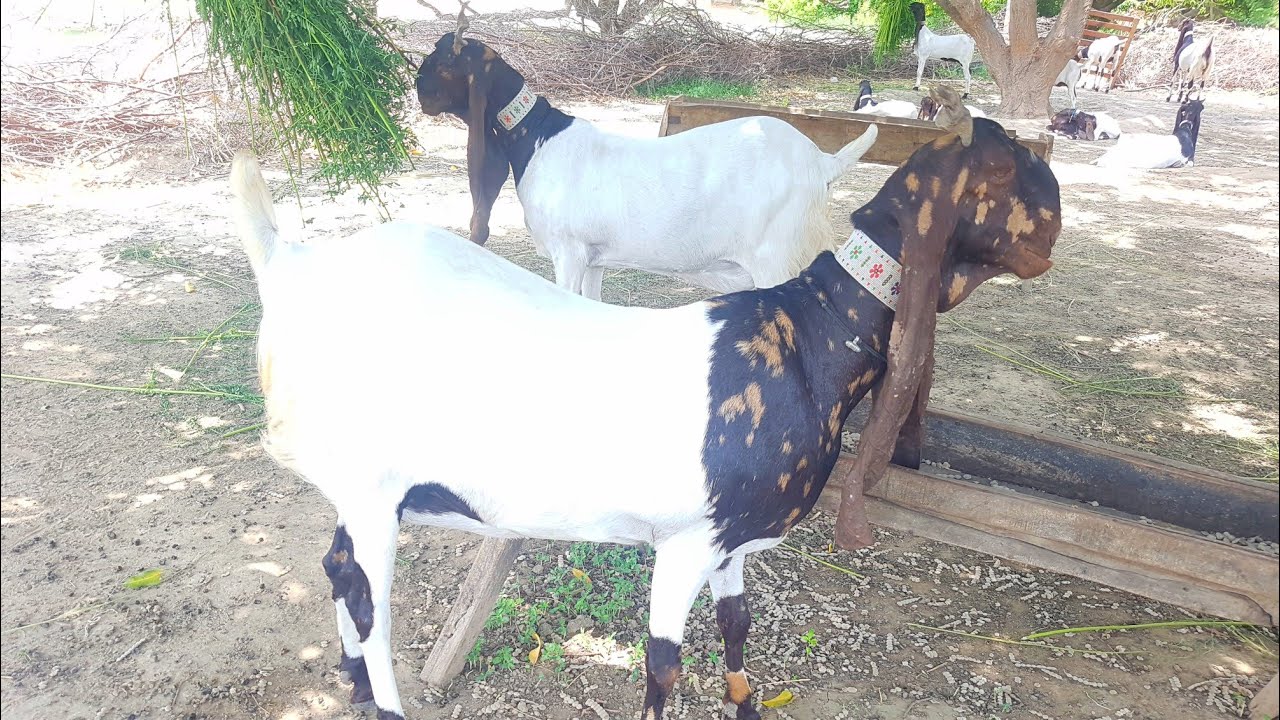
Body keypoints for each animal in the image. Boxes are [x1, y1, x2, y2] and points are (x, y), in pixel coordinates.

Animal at [229, 86, 1061, 720]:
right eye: (1008, 169)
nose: (1050, 236)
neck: (806, 333)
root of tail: (289, 265)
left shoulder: (732, 540)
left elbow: (737, 625)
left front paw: (747, 705)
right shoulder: (686, 540)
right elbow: (662, 664)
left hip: (365, 491)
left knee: (336, 567)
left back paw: (352, 682)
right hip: (371, 490)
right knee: (367, 599)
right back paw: (384, 699)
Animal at [413, 16, 878, 300]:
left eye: (441, 61)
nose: (416, 87)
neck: (540, 137)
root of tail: (822, 163)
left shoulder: (569, 252)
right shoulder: (594, 258)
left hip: (779, 260)